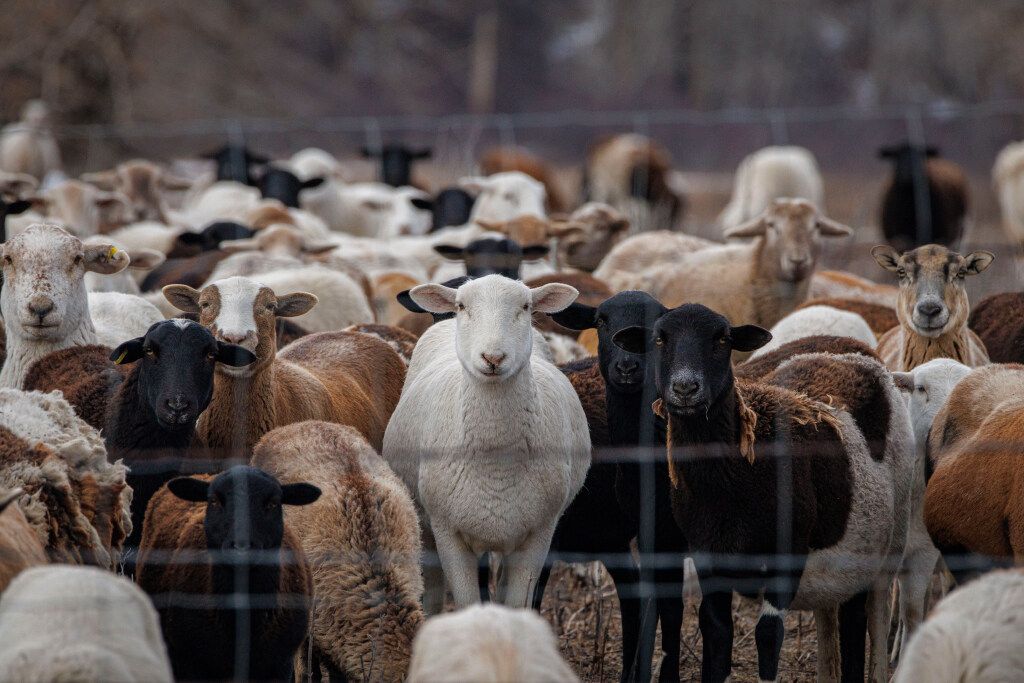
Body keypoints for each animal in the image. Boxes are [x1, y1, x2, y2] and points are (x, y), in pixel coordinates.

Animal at [382, 275, 590, 612]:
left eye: (526, 307)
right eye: (461, 306)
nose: (493, 358)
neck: (497, 461)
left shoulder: (538, 535)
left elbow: (516, 604)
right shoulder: (448, 532)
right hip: (427, 523)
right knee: (434, 587)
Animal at [612, 303, 913, 682]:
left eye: (722, 340)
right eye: (658, 338)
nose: (685, 388)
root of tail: (852, 355)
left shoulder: (788, 552)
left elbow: (769, 635)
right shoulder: (707, 553)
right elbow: (715, 631)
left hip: (888, 545)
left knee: (870, 618)